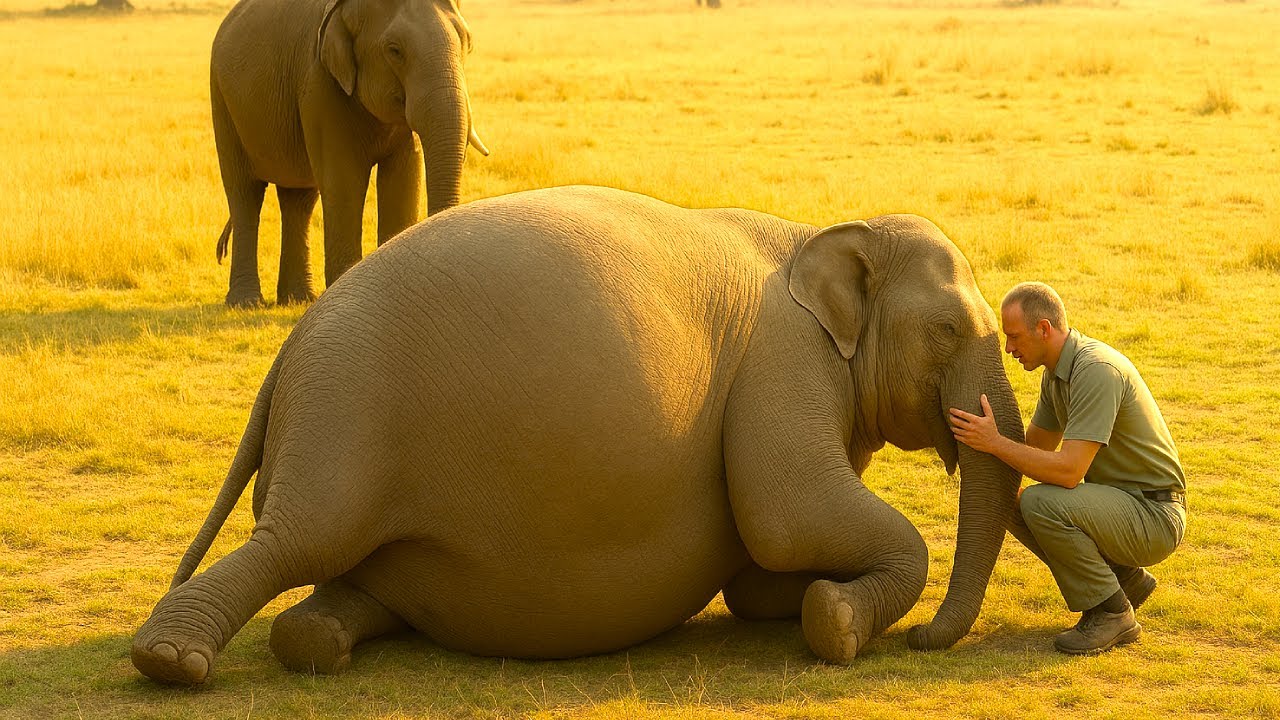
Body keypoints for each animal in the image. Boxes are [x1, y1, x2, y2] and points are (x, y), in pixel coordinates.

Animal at [132, 185, 1025, 685]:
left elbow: (760, 567)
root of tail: (288, 349)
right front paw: (835, 623)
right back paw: (169, 663)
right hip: (343, 408)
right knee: (301, 535)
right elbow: (786, 514)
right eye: (948, 330)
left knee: (348, 580)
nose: (923, 644)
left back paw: (314, 637)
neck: (826, 230)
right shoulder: (784, 364)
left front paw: (815, 602)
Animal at [210, 0, 489, 307]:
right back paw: (246, 303)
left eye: (468, 43)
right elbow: (344, 181)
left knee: (299, 199)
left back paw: (298, 299)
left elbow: (403, 179)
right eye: (394, 50)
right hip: (221, 100)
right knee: (244, 193)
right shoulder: (320, 84)